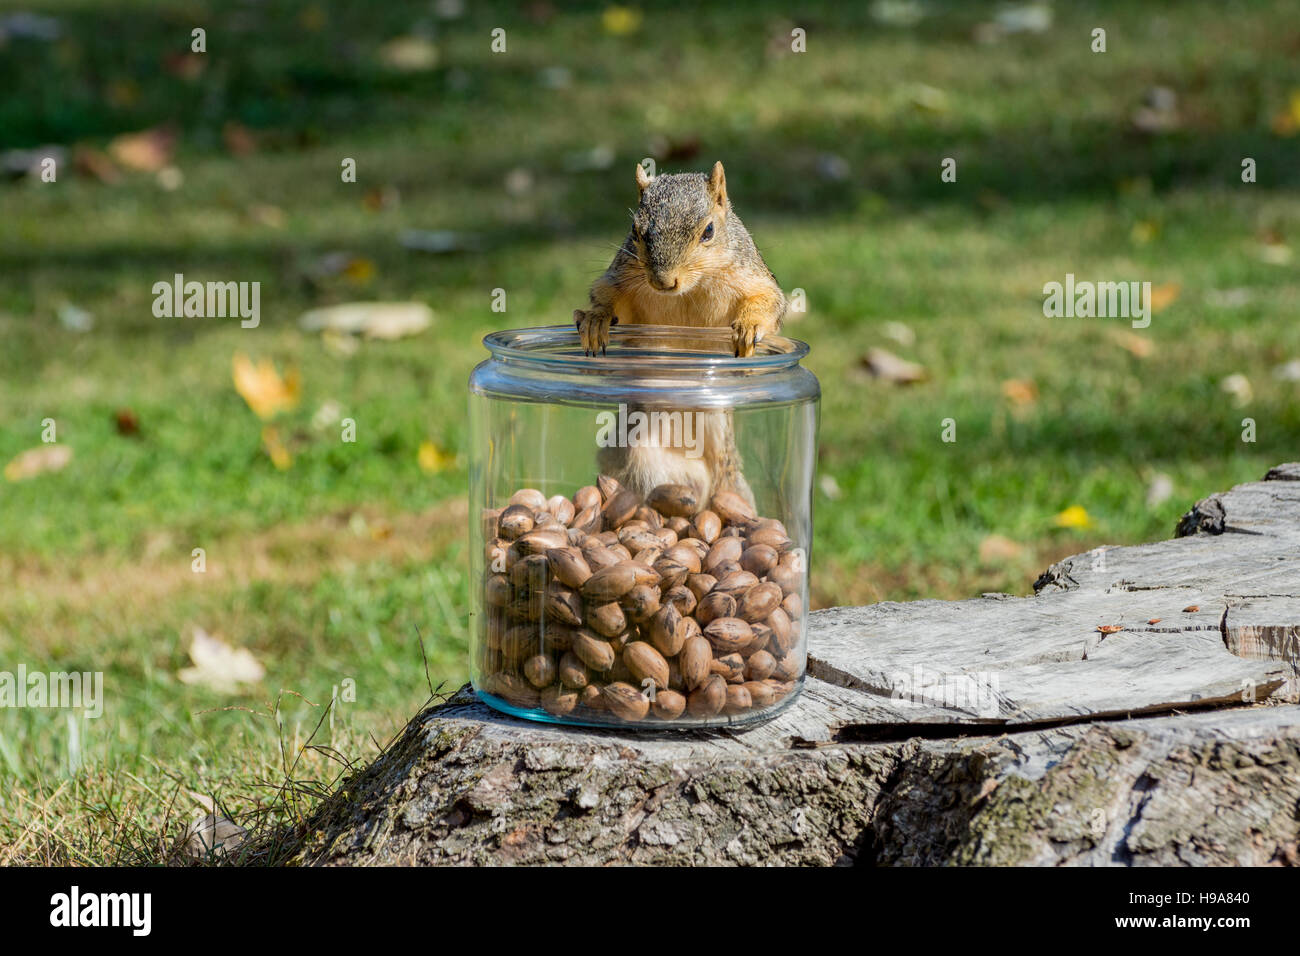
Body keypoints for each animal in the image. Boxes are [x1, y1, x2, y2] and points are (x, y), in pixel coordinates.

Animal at [574, 161, 786, 506]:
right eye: (634, 231)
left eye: (709, 231)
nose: (663, 281)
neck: (690, 289)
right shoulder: (623, 276)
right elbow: (608, 298)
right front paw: (595, 319)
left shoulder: (752, 275)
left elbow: (768, 302)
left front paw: (750, 326)